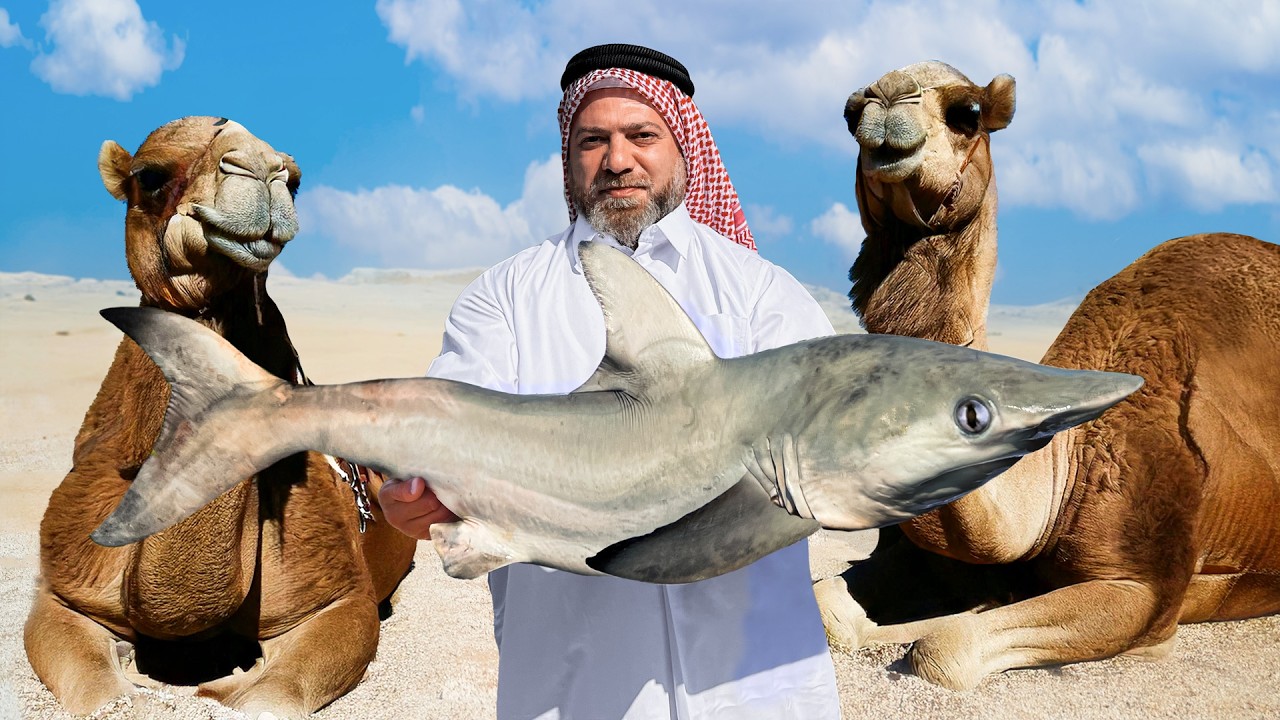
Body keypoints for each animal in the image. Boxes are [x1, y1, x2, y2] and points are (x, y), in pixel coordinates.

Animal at [24, 116, 417, 718]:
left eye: (296, 178)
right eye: (149, 176)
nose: (262, 170)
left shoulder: (340, 598)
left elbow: (268, 699)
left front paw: (224, 688)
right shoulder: (62, 590)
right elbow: (102, 696)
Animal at [814, 62, 1280, 691]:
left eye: (967, 113)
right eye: (848, 113)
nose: (886, 100)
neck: (1066, 464)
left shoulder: (1140, 587)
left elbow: (944, 650)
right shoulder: (910, 555)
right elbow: (831, 610)